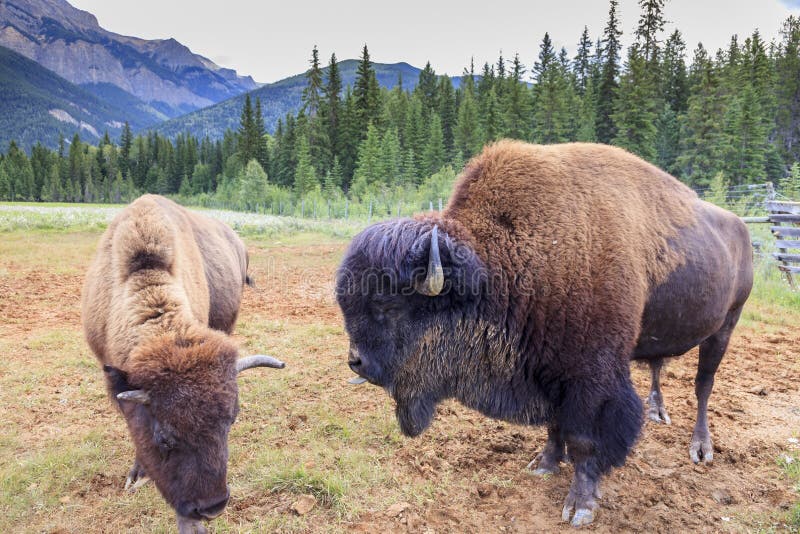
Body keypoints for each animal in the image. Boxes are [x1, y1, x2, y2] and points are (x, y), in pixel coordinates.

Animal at [336, 141, 753, 527]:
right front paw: (544, 463)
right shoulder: (547, 371)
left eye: (388, 307)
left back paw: (701, 449)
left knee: (703, 385)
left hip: (725, 327)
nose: (356, 362)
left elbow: (584, 440)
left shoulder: (591, 379)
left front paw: (580, 506)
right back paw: (657, 411)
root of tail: (742, 228)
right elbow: (555, 425)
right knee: (659, 367)